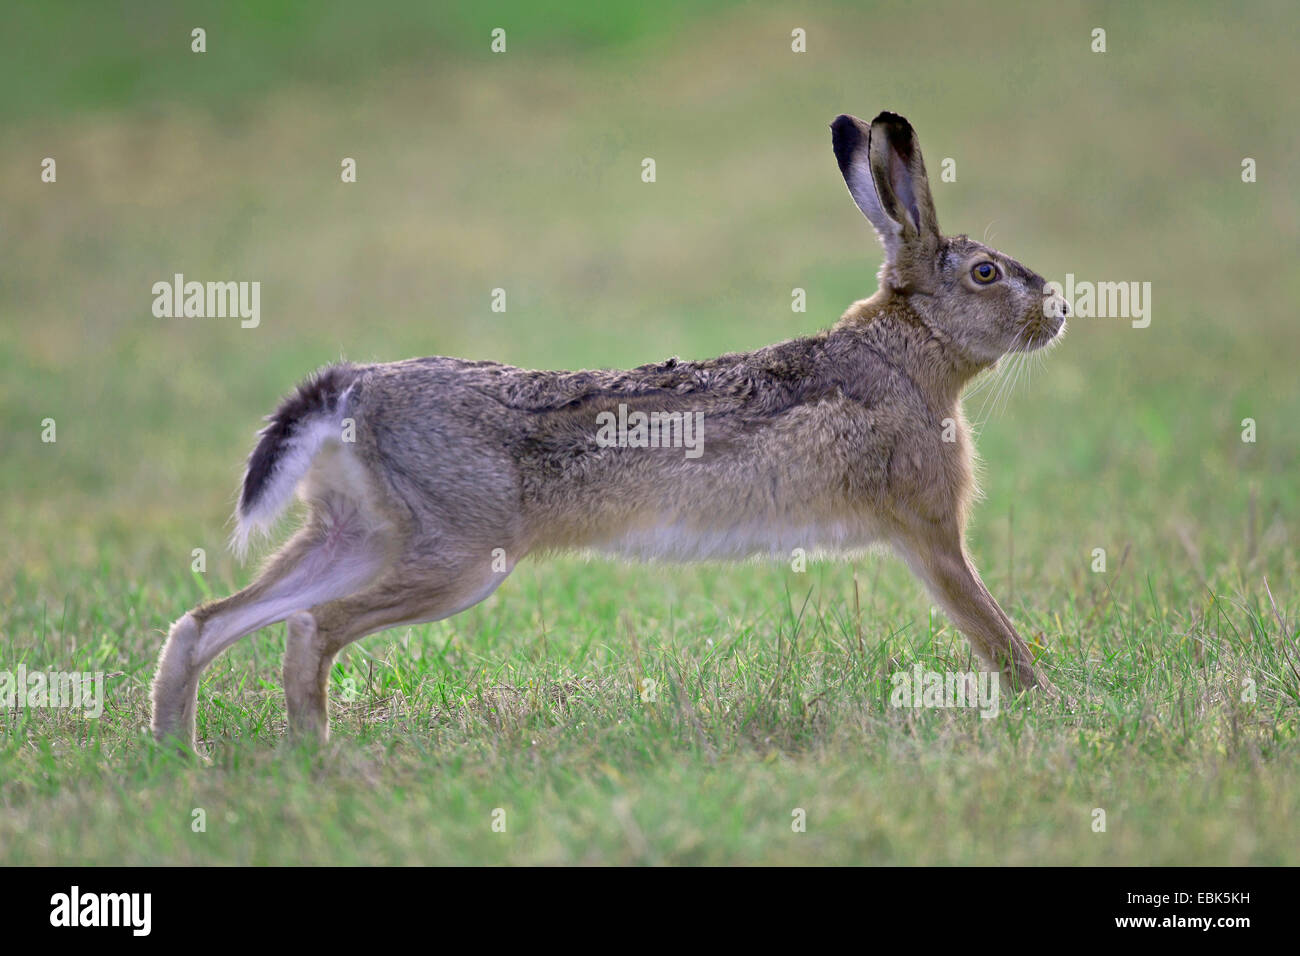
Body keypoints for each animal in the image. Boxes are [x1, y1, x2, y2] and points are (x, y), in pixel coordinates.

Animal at [151, 110, 1068, 750]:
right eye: (986, 273)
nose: (1058, 309)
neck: (908, 349)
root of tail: (356, 394)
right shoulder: (928, 531)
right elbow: (991, 629)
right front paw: (1050, 705)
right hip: (456, 556)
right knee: (312, 629)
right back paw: (321, 758)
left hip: (360, 535)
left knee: (209, 622)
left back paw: (178, 756)